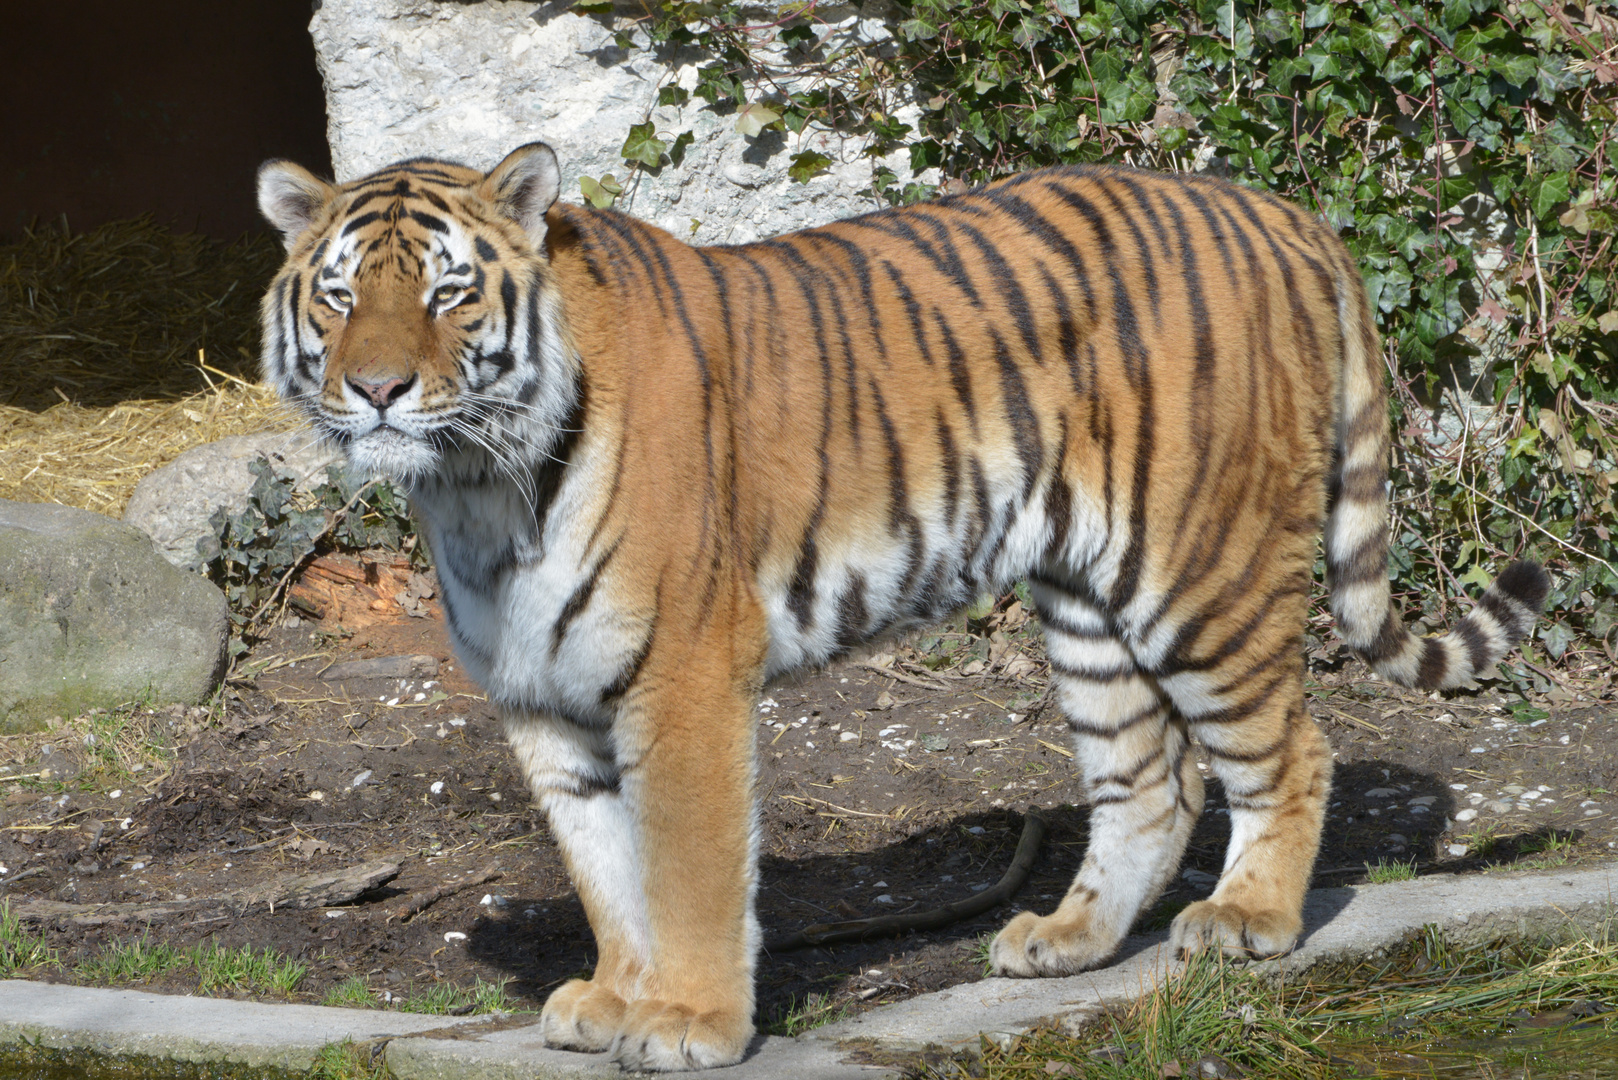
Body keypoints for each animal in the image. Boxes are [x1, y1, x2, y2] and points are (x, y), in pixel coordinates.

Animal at [258, 145, 1546, 1075]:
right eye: (338, 297)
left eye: (448, 292)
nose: (378, 390)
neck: (477, 489)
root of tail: (1278, 211)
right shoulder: (541, 697)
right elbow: (603, 869)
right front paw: (615, 998)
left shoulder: (683, 676)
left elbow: (686, 866)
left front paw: (689, 1022)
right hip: (1086, 597)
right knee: (1151, 779)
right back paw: (1065, 941)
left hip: (1204, 570)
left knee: (1292, 750)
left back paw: (1248, 922)